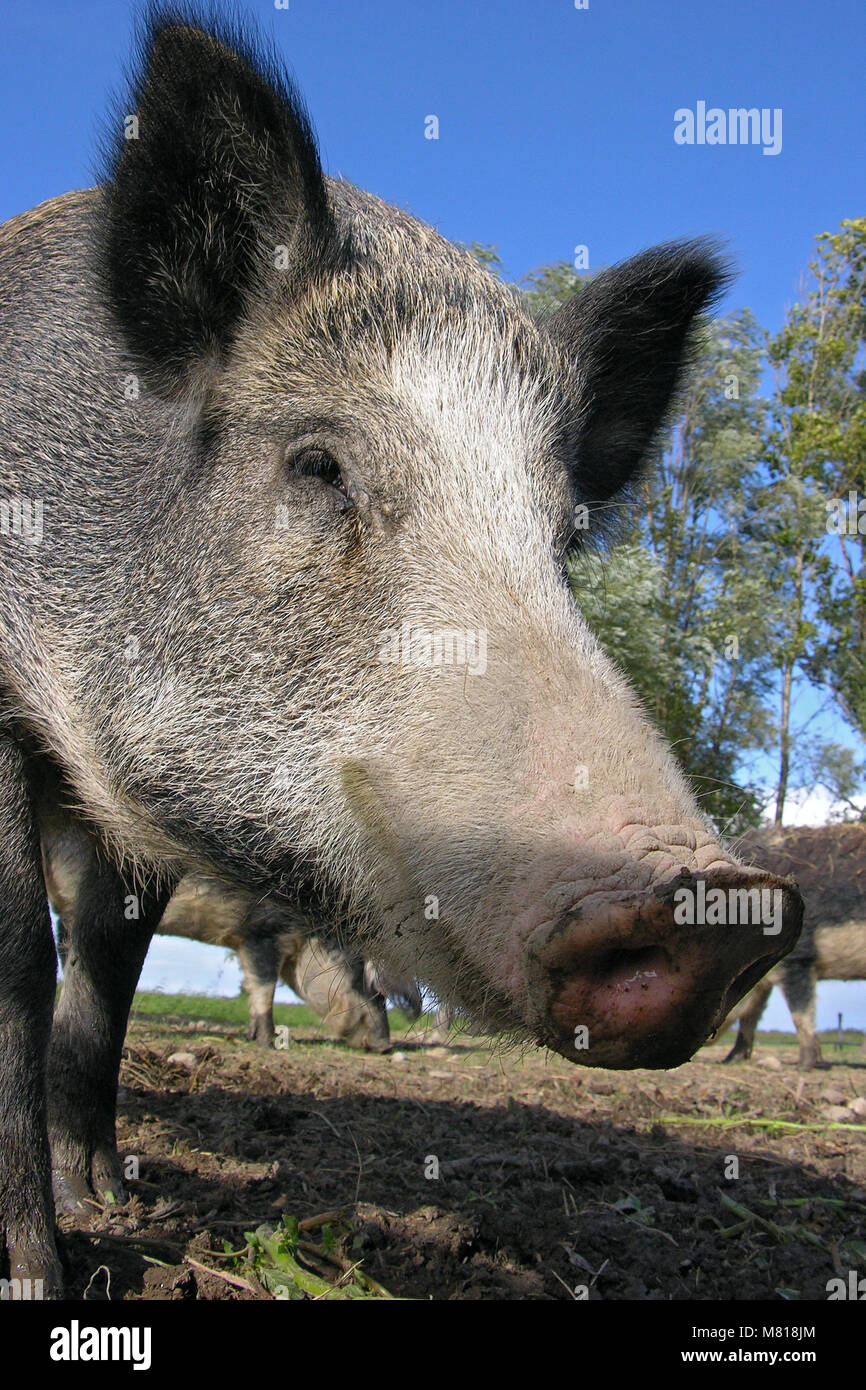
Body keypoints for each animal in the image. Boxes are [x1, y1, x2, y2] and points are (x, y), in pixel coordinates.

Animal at [0, 7, 802, 1296]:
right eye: (318, 463)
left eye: (565, 535)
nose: (710, 900)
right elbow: (22, 953)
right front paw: (40, 1269)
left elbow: (111, 967)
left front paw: (111, 1200)